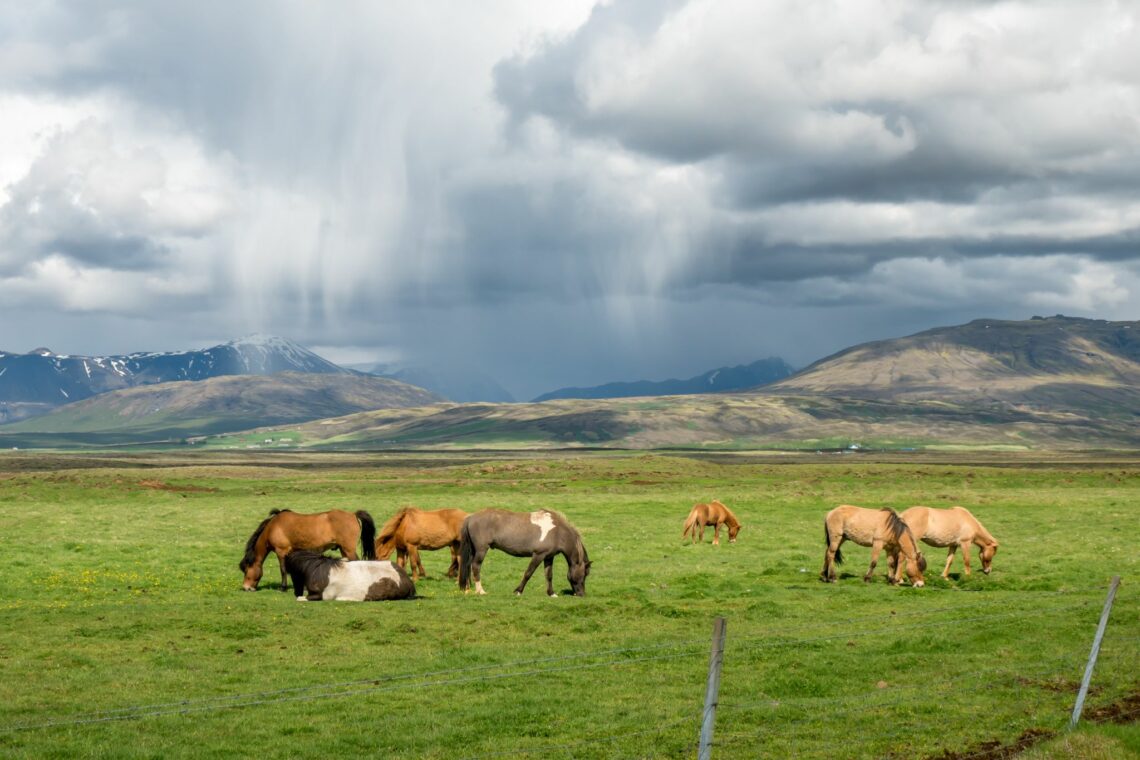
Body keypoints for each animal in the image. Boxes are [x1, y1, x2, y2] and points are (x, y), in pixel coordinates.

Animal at [239, 508, 377, 591]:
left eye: (246, 570)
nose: (246, 587)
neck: (274, 526)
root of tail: (353, 514)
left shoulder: (281, 552)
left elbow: (283, 570)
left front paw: (283, 588)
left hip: (348, 550)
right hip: (344, 550)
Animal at [283, 550, 415, 601]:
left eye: (292, 573)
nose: (296, 591)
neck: (318, 569)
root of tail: (407, 580)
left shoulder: (318, 596)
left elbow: (300, 599)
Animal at [458, 509, 591, 597]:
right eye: (584, 574)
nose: (581, 594)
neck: (558, 531)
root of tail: (471, 517)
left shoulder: (548, 557)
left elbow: (549, 575)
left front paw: (551, 593)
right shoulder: (538, 555)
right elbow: (528, 573)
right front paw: (518, 591)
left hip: (474, 550)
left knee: (468, 567)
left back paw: (468, 589)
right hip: (481, 550)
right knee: (476, 567)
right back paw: (480, 591)